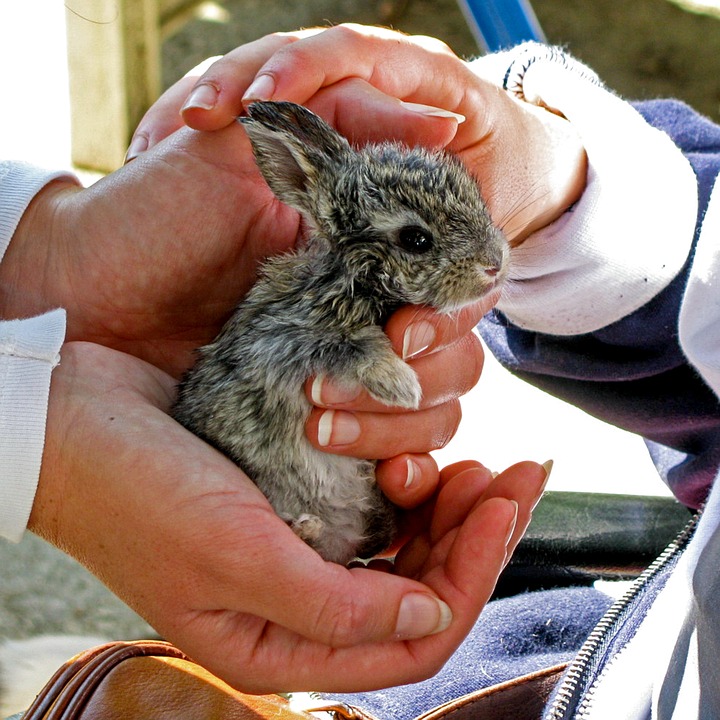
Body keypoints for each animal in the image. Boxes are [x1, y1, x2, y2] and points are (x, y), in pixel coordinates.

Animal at [172, 101, 509, 565]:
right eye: (416, 239)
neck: (353, 276)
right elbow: (352, 346)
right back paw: (305, 526)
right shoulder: (285, 342)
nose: (495, 263)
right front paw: (402, 386)